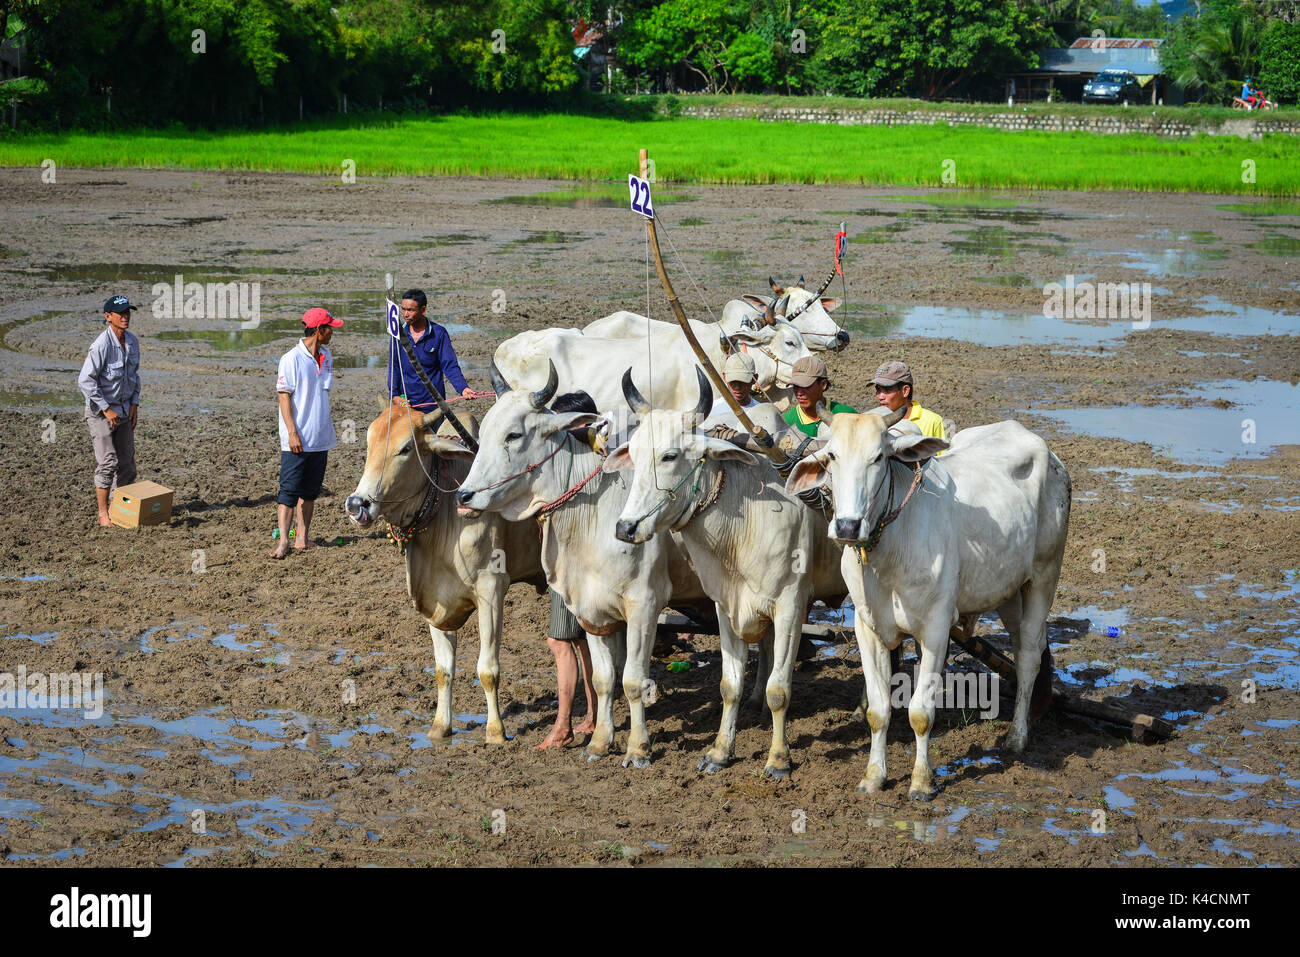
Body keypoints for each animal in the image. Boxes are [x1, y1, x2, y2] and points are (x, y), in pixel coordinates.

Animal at [344, 399, 546, 745]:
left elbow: (488, 670)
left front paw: (495, 732)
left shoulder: (492, 592)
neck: (447, 511)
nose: (358, 505)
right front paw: (441, 726)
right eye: (369, 441)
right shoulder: (435, 603)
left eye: (405, 448)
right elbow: (443, 670)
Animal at [454, 363, 730, 767]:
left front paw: (638, 749)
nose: (464, 495)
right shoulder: (593, 612)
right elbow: (602, 680)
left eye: (514, 435)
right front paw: (600, 742)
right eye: (485, 428)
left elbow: (632, 680)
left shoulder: (644, 607)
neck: (598, 515)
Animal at [607, 367, 845, 778]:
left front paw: (778, 759)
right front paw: (720, 751)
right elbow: (729, 685)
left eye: (669, 455)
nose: (626, 527)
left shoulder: (791, 606)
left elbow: (780, 689)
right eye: (633, 454)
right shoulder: (726, 606)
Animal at [786, 409, 1071, 800]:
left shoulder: (936, 628)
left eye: (879, 457)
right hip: (1008, 588)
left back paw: (1016, 737)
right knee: (1025, 643)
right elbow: (878, 710)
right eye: (832, 456)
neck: (889, 552)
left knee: (1028, 654)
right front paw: (874, 776)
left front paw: (922, 781)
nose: (846, 526)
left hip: (1044, 575)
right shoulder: (867, 627)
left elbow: (921, 713)